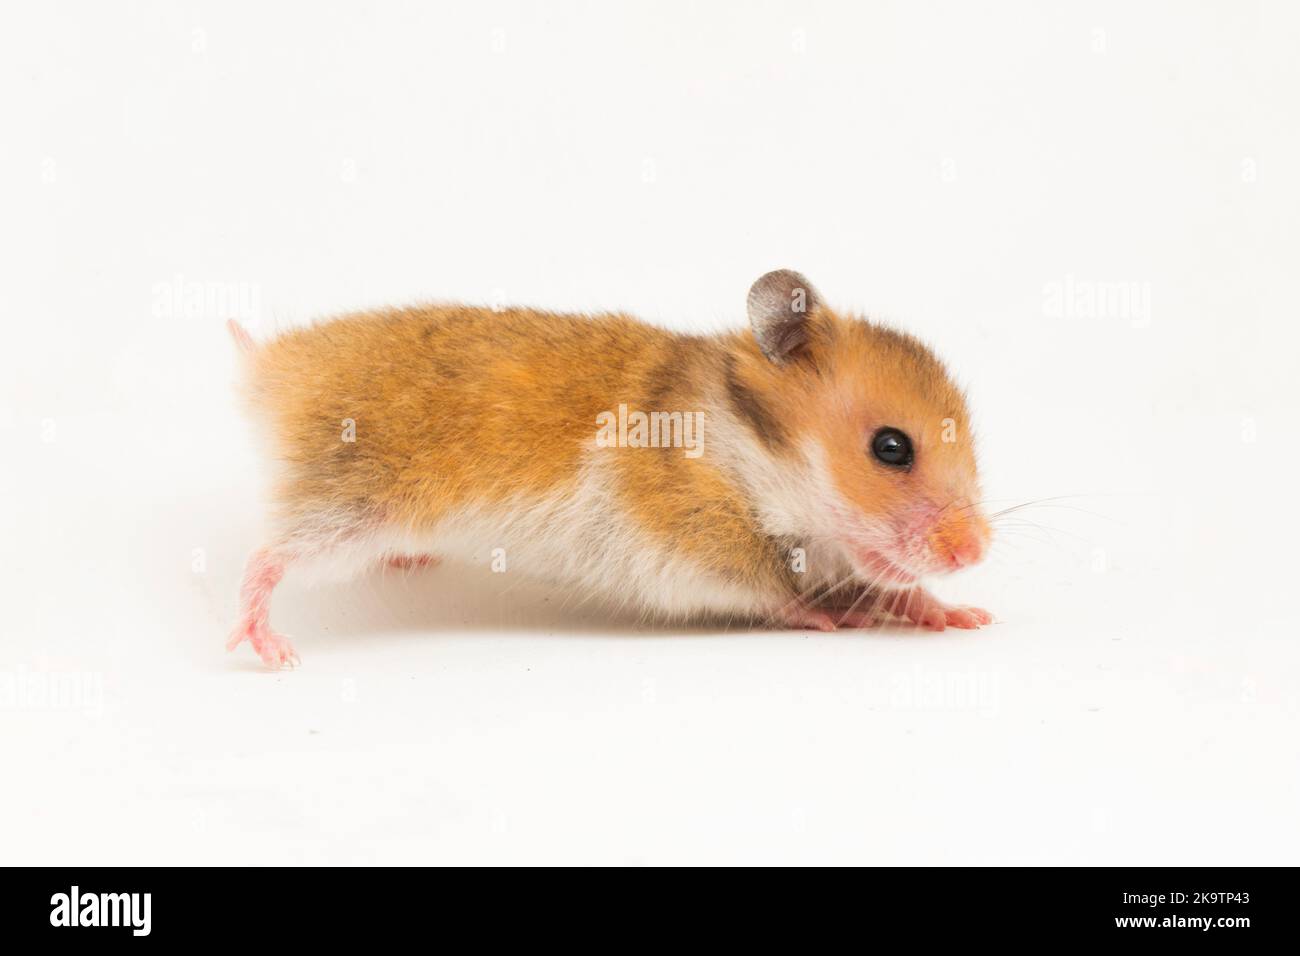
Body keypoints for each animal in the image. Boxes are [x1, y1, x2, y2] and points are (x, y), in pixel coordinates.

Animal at [226, 270, 992, 668]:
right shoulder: (685, 550)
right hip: (348, 503)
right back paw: (270, 648)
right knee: (264, 558)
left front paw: (962, 616)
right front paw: (833, 619)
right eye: (891, 447)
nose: (977, 552)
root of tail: (272, 371)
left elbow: (890, 586)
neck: (748, 458)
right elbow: (777, 594)